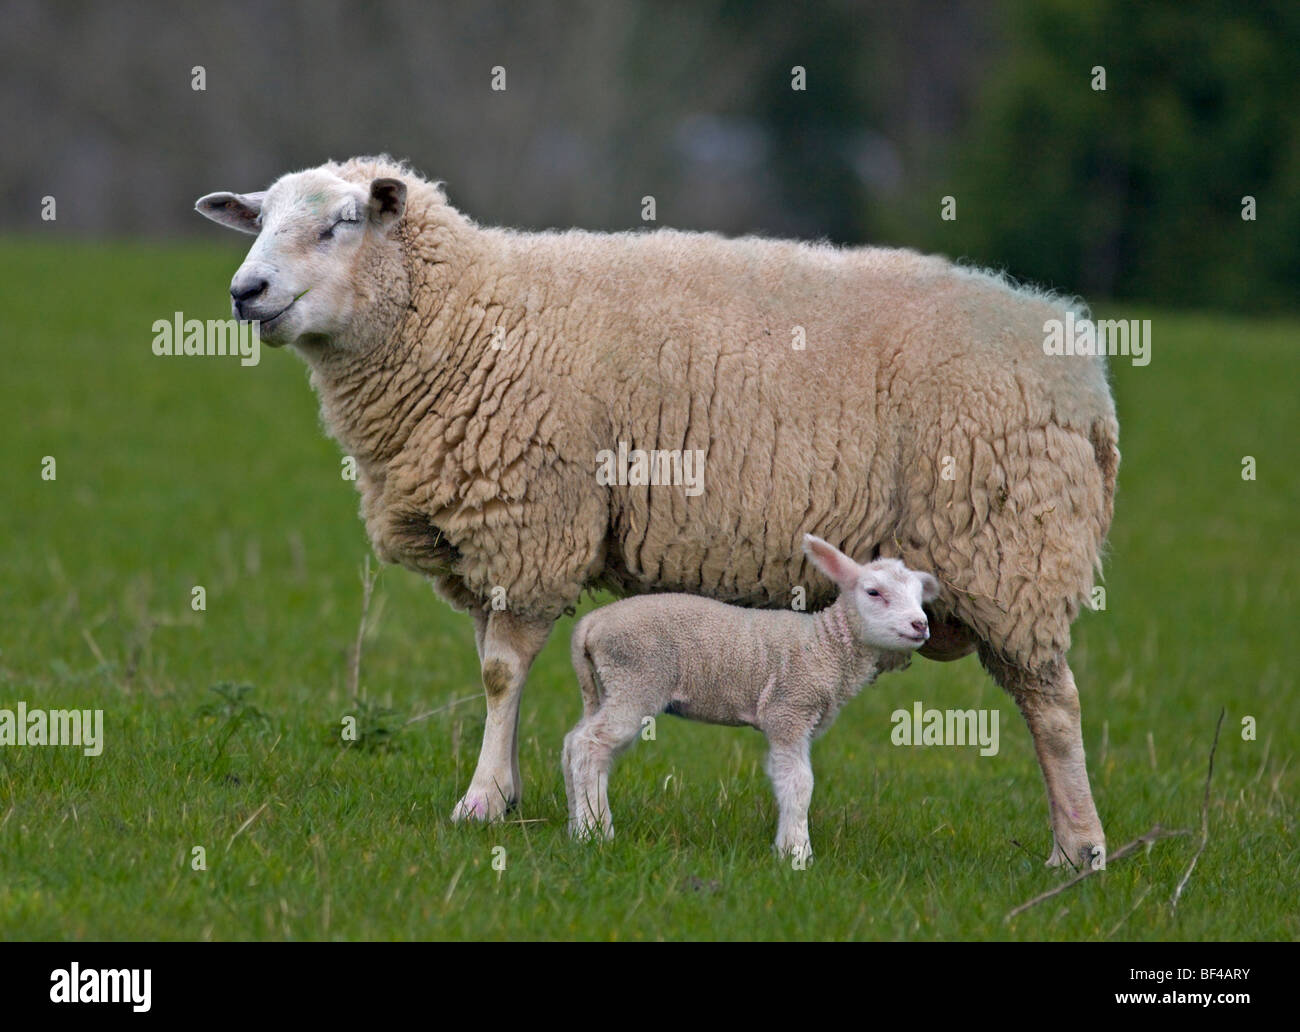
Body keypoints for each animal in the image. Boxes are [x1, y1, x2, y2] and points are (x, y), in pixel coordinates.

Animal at [563, 536, 939, 859]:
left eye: (919, 597)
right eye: (874, 592)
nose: (920, 625)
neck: (826, 646)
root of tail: (590, 623)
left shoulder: (789, 720)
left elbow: (781, 777)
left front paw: (785, 846)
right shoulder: (789, 709)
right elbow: (799, 783)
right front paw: (798, 855)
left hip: (608, 684)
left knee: (572, 743)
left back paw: (576, 824)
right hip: (636, 679)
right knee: (589, 744)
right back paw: (596, 833)